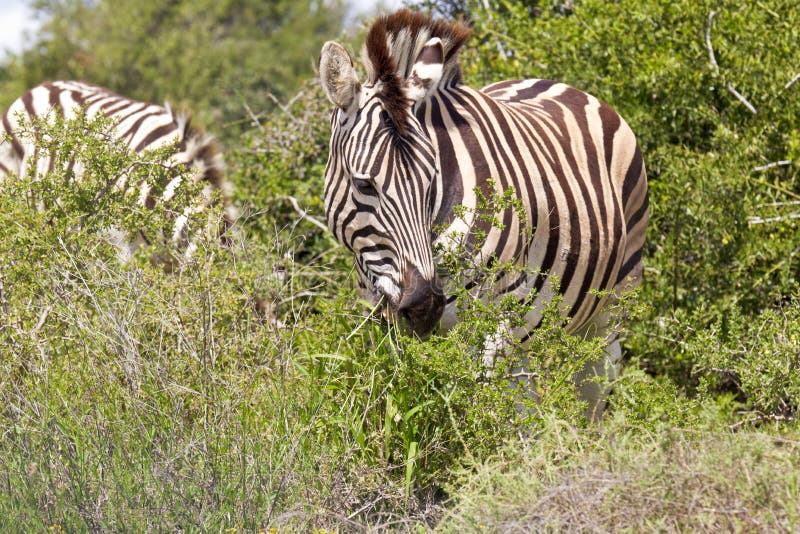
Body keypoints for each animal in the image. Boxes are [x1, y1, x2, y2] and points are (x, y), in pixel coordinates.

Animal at [318, 9, 649, 418]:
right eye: (364, 184)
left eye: (431, 180)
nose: (425, 306)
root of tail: (558, 84)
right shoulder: (382, 318)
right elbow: (402, 408)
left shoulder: (500, 319)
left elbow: (484, 416)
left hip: (610, 308)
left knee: (591, 388)